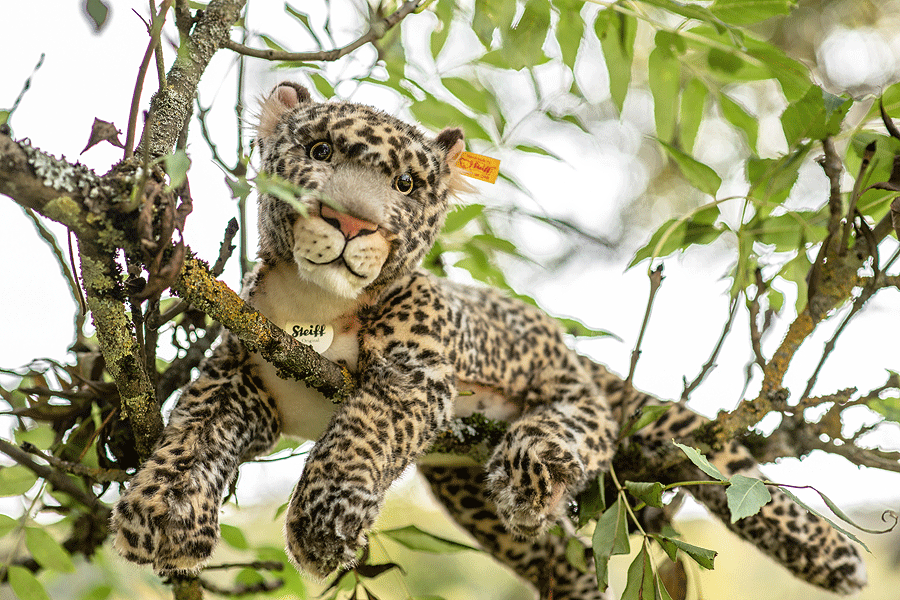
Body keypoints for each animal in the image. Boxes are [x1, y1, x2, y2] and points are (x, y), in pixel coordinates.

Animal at [110, 81, 867, 599]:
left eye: (405, 184)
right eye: (319, 151)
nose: (351, 221)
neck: (316, 304)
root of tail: (564, 340)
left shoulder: (414, 372)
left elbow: (359, 433)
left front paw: (324, 522)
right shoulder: (244, 376)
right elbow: (194, 432)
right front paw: (163, 513)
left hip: (557, 389)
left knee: (583, 422)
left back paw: (538, 464)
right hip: (471, 495)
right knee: (557, 561)